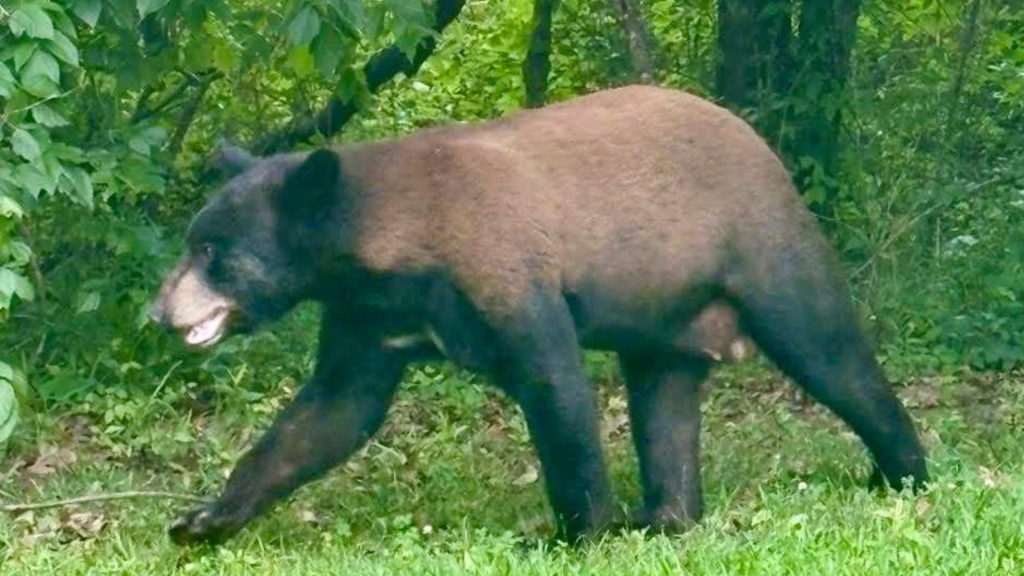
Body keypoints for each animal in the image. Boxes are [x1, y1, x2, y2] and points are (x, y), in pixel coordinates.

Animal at [149, 85, 928, 545]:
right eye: (195, 239)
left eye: (214, 251)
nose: (159, 312)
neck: (392, 245)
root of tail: (758, 140)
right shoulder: (369, 313)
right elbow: (331, 411)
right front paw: (202, 519)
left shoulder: (501, 268)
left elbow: (553, 385)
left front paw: (578, 532)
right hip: (664, 312)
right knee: (663, 402)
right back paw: (667, 515)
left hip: (761, 247)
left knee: (830, 352)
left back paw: (902, 474)